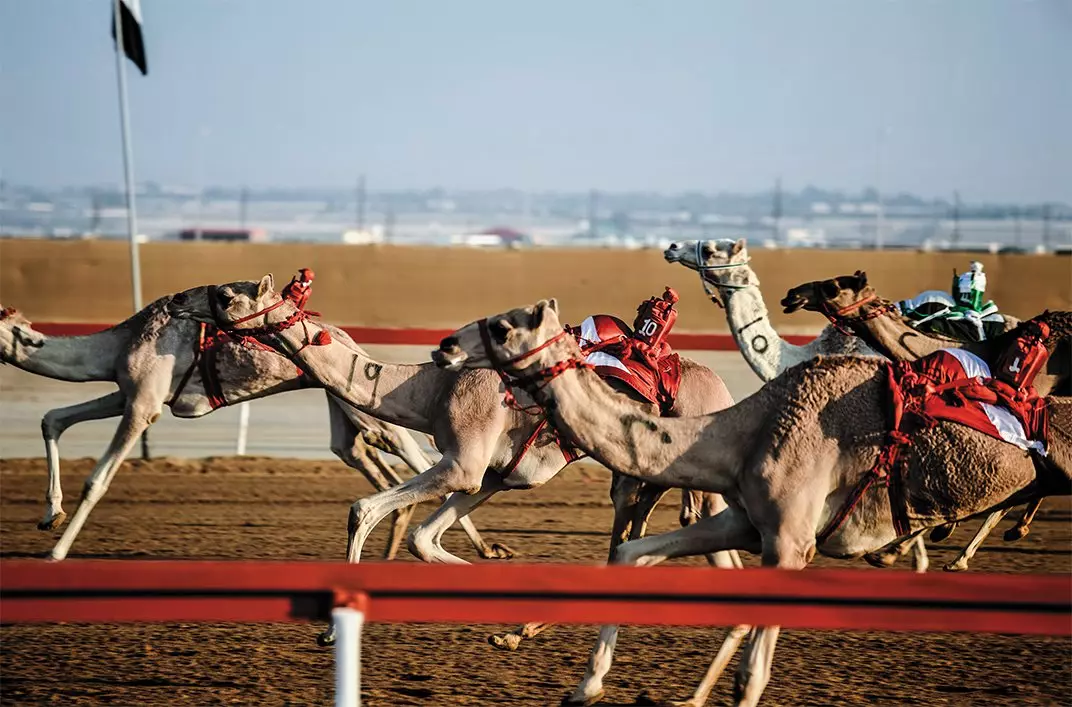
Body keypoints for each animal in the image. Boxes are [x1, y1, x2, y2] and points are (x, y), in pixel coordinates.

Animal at [169, 274, 746, 647]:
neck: (427, 390)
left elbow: (364, 508)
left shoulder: (462, 464)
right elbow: (426, 541)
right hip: (643, 477)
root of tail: (720, 388)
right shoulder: (490, 477)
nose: (179, 300)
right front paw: (507, 613)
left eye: (225, 297)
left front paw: (332, 628)